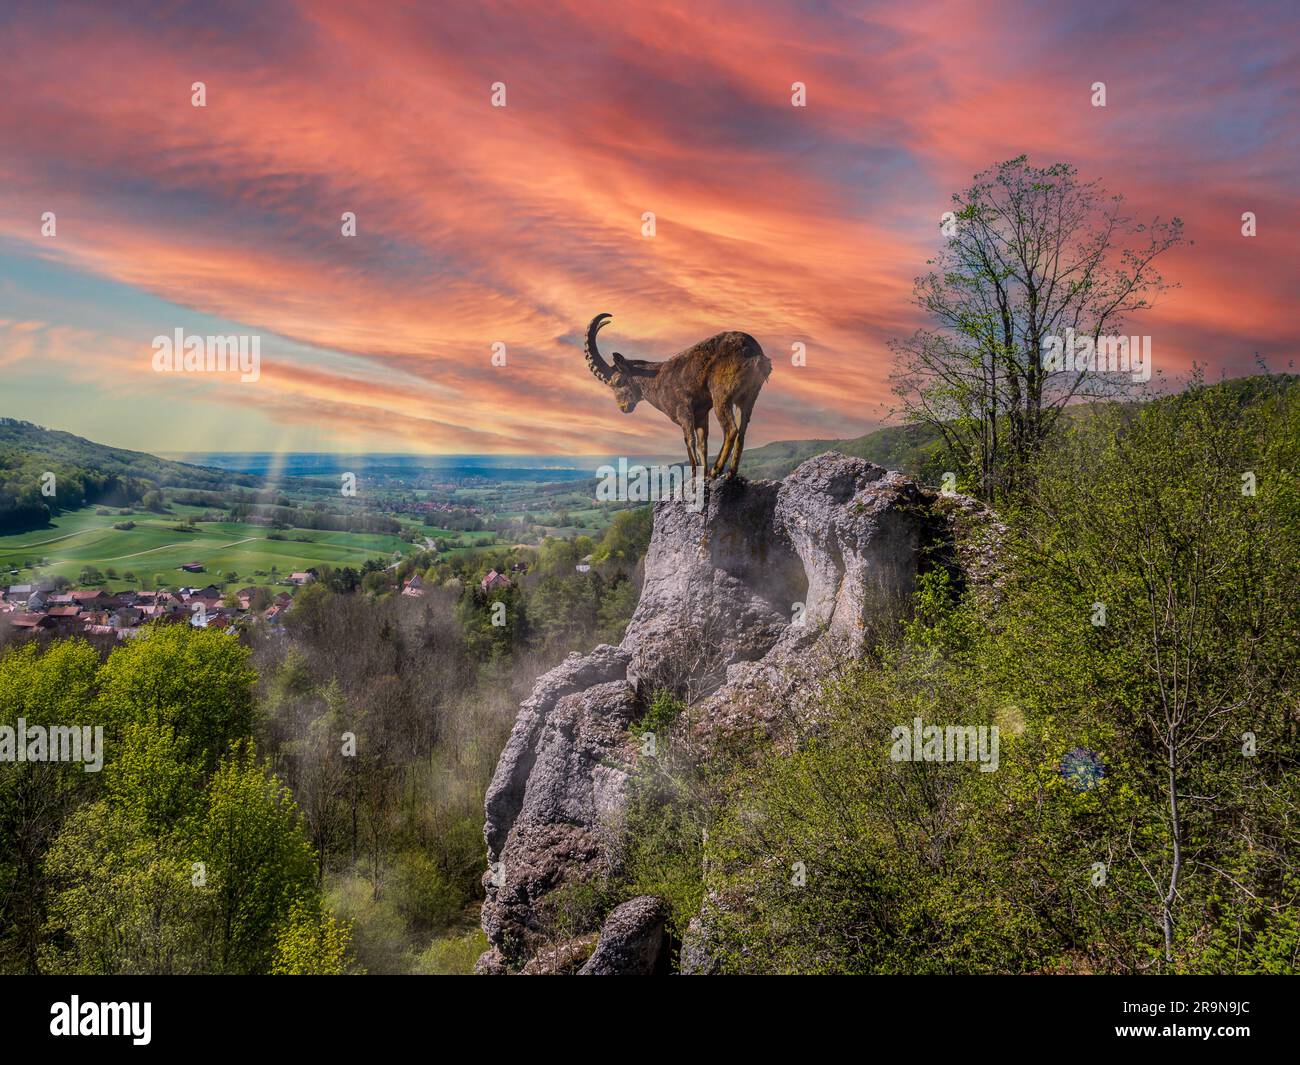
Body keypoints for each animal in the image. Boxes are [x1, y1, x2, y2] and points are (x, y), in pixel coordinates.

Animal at [582, 313, 772, 479]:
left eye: (618, 381)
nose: (623, 407)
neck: (656, 378)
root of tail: (753, 352)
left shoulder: (683, 410)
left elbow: (689, 440)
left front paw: (695, 475)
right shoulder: (701, 414)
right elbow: (702, 445)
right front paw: (702, 476)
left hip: (721, 395)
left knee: (731, 430)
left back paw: (716, 470)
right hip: (747, 398)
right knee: (742, 431)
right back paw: (731, 472)